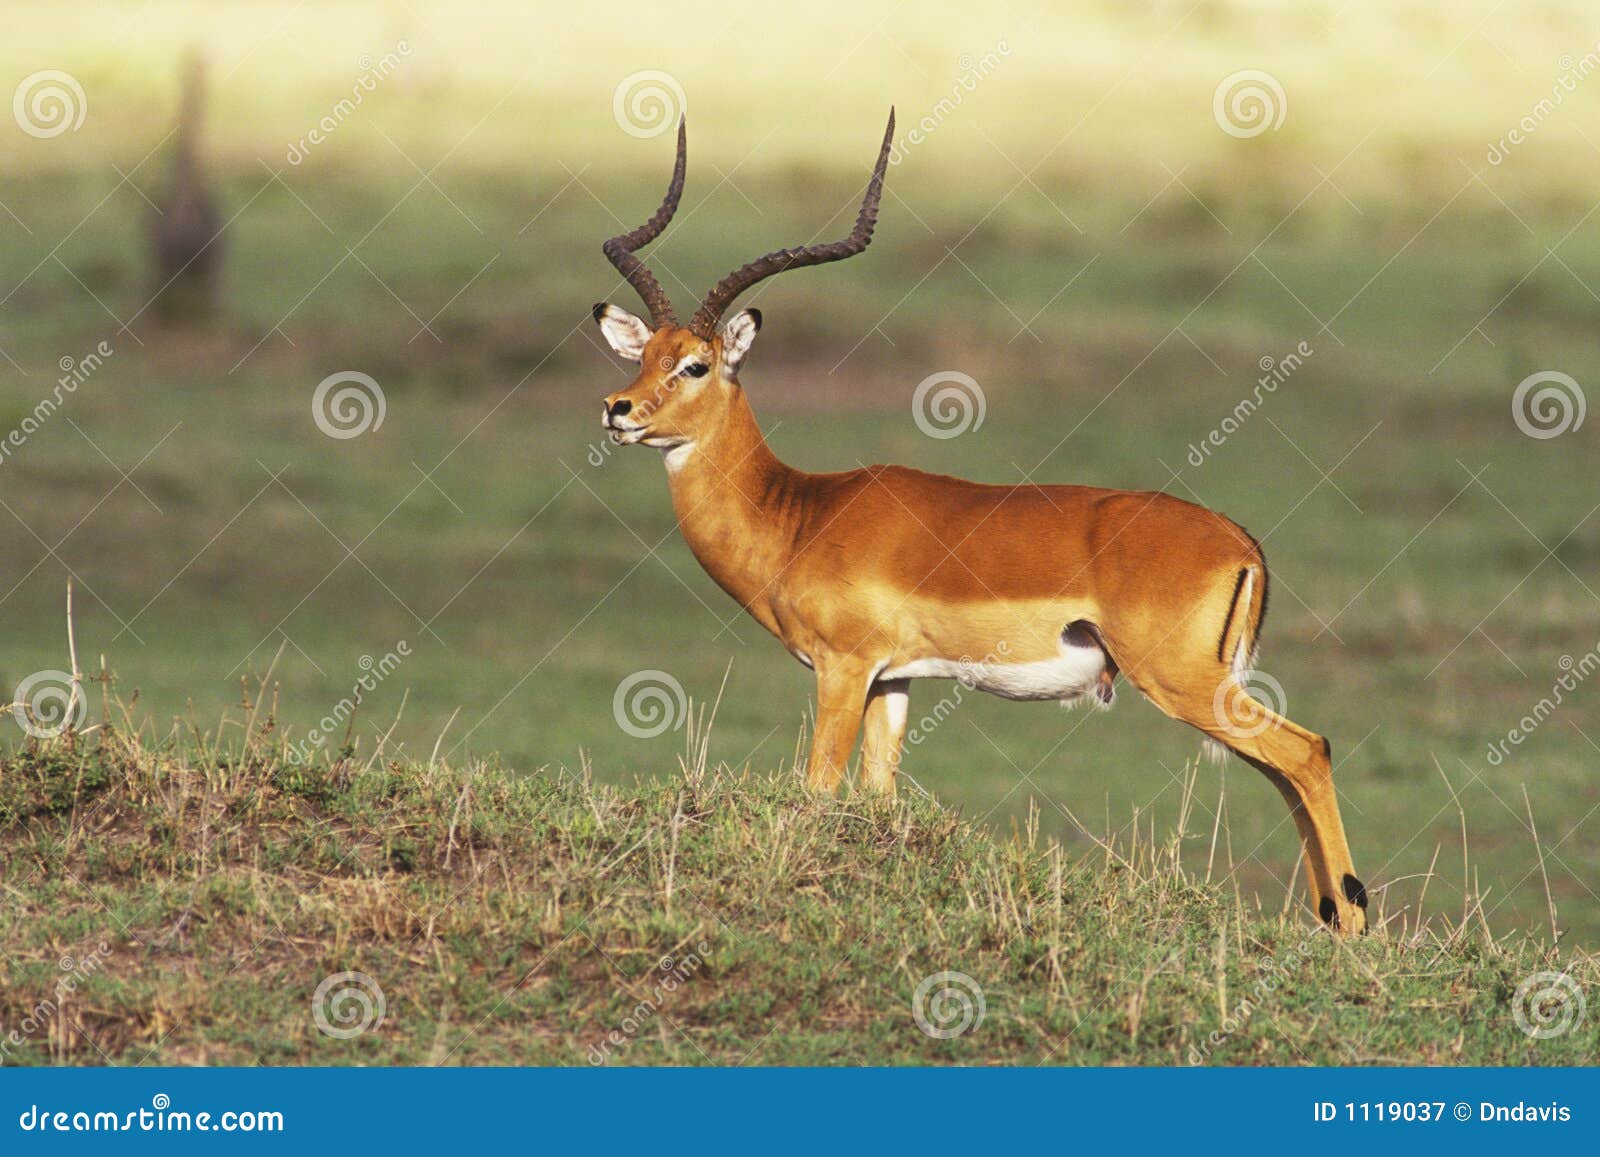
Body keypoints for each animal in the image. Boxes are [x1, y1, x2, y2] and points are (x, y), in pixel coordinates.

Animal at [592, 112, 1367, 933]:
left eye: (696, 365)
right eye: (646, 354)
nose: (618, 409)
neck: (801, 512)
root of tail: (1242, 542)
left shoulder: (841, 669)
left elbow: (818, 788)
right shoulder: (893, 680)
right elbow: (877, 793)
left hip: (1185, 683)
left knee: (1306, 752)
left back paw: (1352, 928)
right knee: (1284, 768)